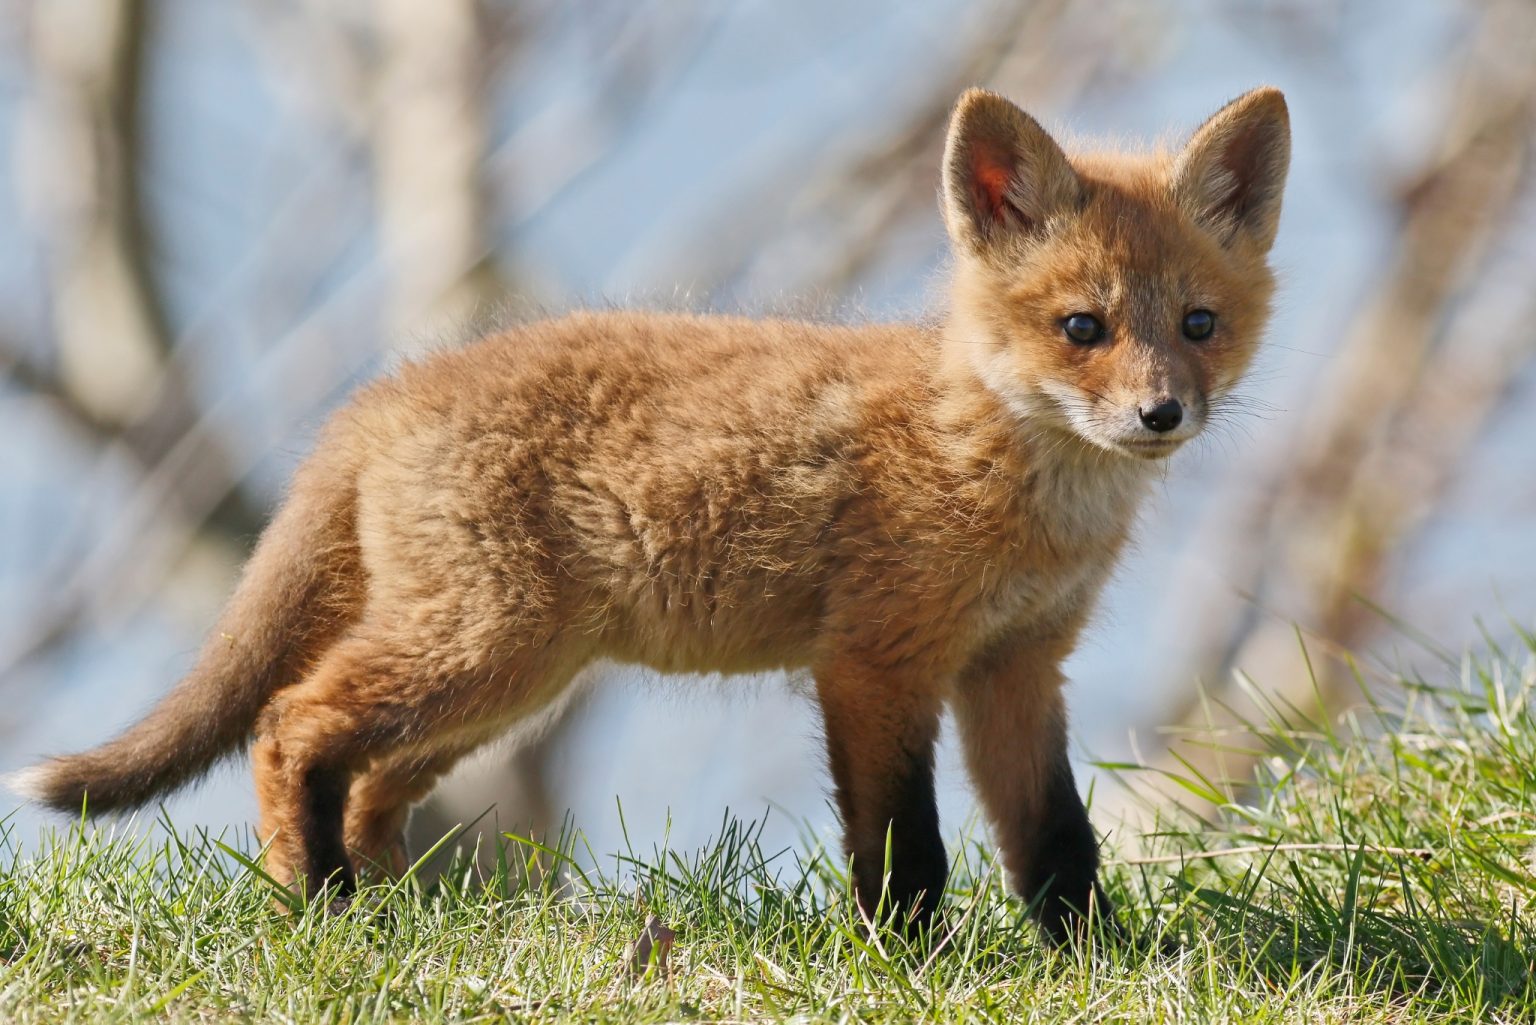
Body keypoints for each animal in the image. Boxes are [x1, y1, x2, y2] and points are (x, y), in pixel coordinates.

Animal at [10, 86, 1288, 943]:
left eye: (1199, 323)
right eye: (1084, 328)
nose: (1162, 414)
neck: (997, 468)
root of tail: (383, 393)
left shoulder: (1014, 668)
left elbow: (1056, 845)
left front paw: (1098, 960)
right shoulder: (875, 661)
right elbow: (904, 852)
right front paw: (907, 962)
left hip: (502, 686)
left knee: (363, 779)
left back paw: (393, 923)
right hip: (482, 650)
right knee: (289, 723)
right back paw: (320, 913)